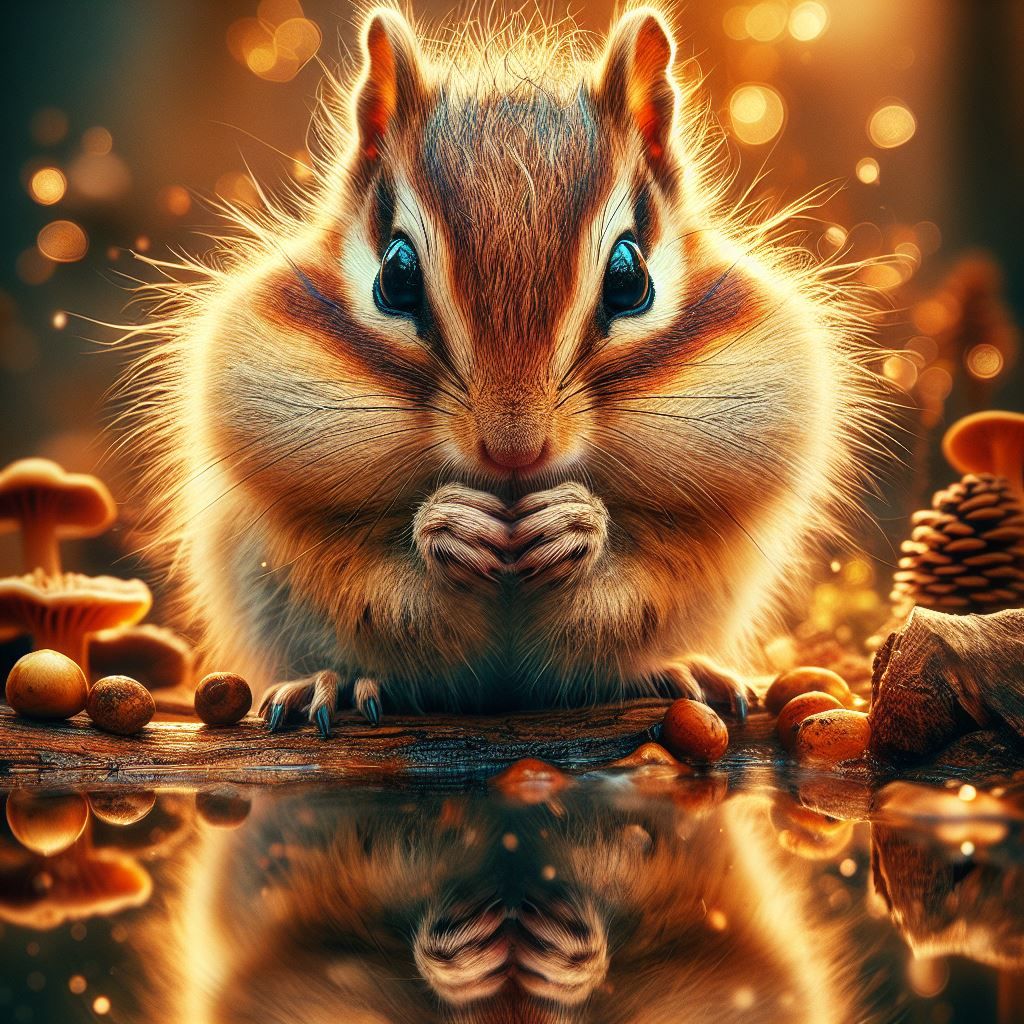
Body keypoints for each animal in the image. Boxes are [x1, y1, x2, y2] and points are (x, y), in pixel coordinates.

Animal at [125, 5, 883, 735]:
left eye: (629, 276)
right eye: (396, 276)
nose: (514, 450)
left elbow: (656, 563)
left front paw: (576, 523)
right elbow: (351, 566)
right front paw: (448, 524)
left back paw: (683, 669)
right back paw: (330, 684)